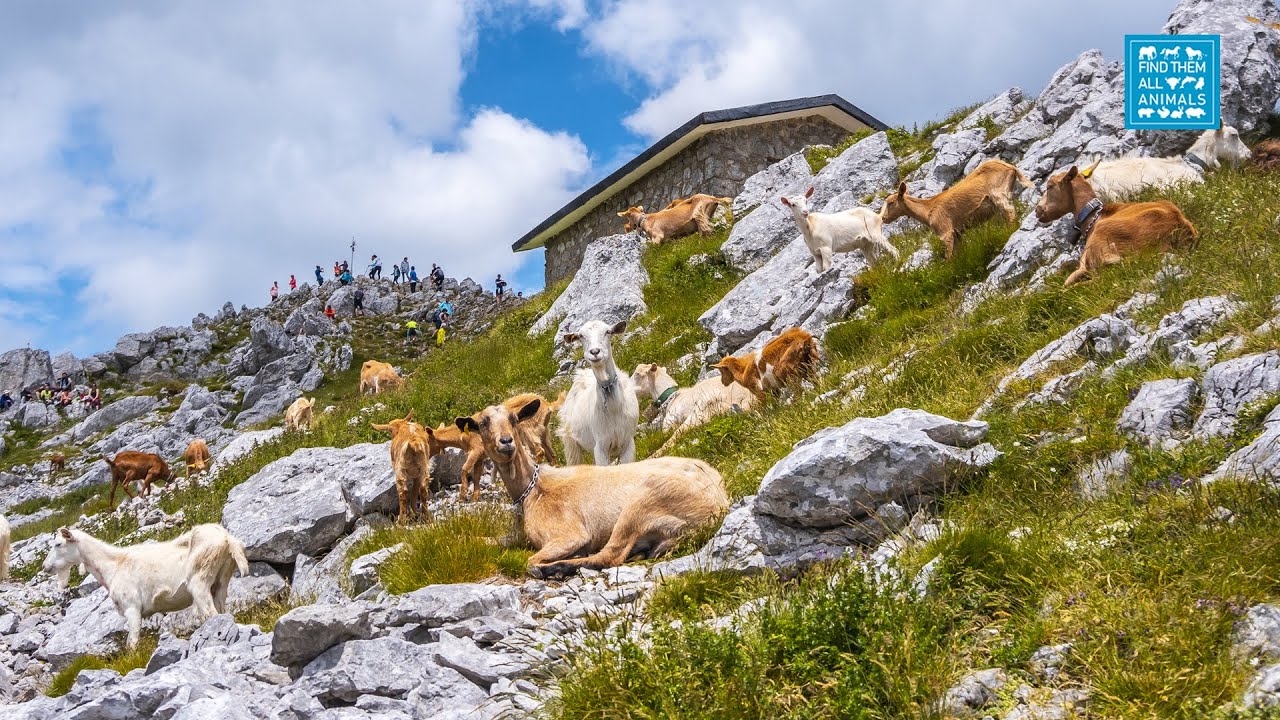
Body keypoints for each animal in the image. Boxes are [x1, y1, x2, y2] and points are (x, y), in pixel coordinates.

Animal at [43, 524, 249, 649]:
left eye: (58, 544)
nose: (45, 567)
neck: (114, 565)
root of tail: (227, 538)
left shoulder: (132, 608)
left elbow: (132, 642)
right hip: (221, 580)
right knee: (222, 609)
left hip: (199, 581)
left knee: (212, 614)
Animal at [425, 392, 560, 503]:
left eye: (426, 440)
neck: (463, 435)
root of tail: (548, 405)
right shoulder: (480, 457)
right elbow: (477, 475)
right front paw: (475, 497)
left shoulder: (476, 450)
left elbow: (465, 469)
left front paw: (462, 497)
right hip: (543, 432)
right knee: (551, 453)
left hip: (528, 430)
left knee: (539, 452)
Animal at [457, 397, 728, 578]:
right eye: (483, 423)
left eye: (514, 419)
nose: (506, 442)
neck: (532, 490)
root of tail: (719, 503)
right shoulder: (516, 535)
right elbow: (484, 540)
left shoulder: (568, 534)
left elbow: (532, 560)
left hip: (644, 501)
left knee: (609, 555)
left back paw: (559, 567)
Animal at [557, 320, 639, 465]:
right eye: (581, 336)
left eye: (608, 332)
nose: (595, 352)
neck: (615, 409)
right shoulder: (601, 446)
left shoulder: (628, 442)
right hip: (570, 441)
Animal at [880, 159, 1031, 258]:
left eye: (891, 202)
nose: (883, 218)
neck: (928, 210)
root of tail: (1010, 167)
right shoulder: (958, 232)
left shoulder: (944, 230)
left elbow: (949, 257)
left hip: (998, 193)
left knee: (1009, 211)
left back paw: (1011, 230)